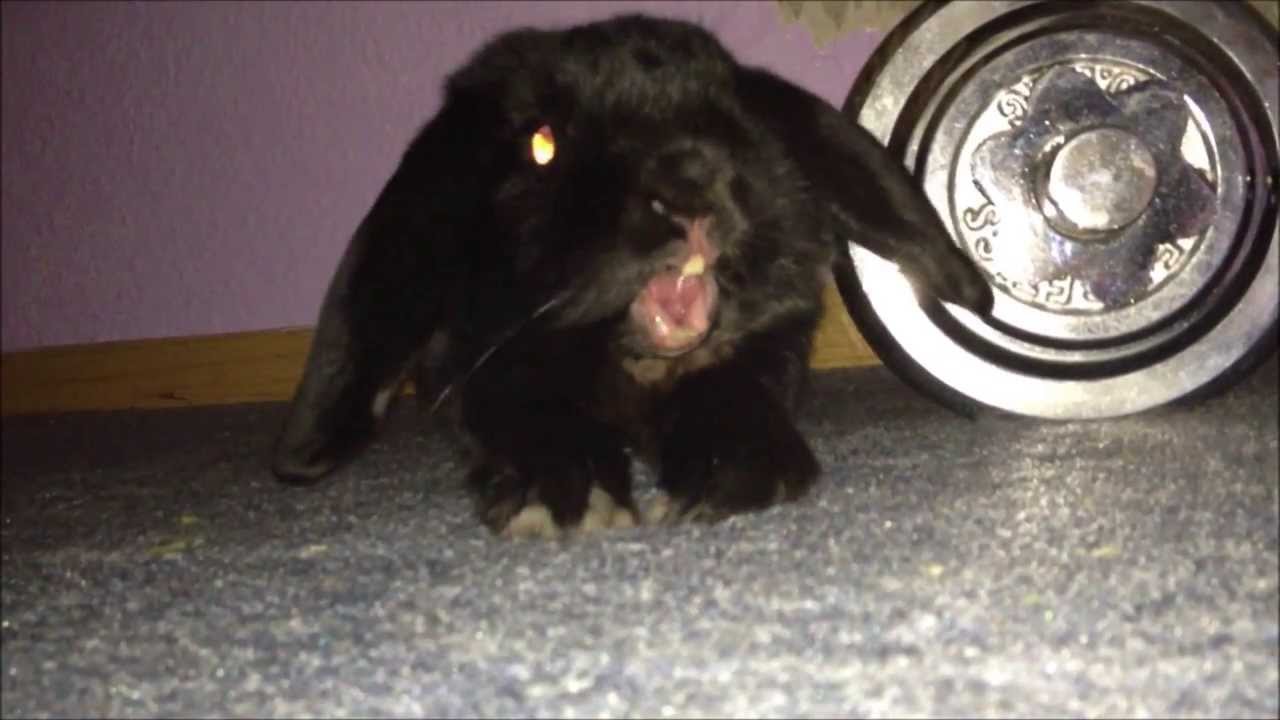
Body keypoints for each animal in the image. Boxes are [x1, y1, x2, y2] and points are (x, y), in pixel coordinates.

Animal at [271, 14, 993, 537]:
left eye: (734, 117)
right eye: (541, 145)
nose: (693, 180)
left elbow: (732, 394)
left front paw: (729, 479)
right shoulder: (479, 366)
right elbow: (526, 406)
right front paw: (567, 496)